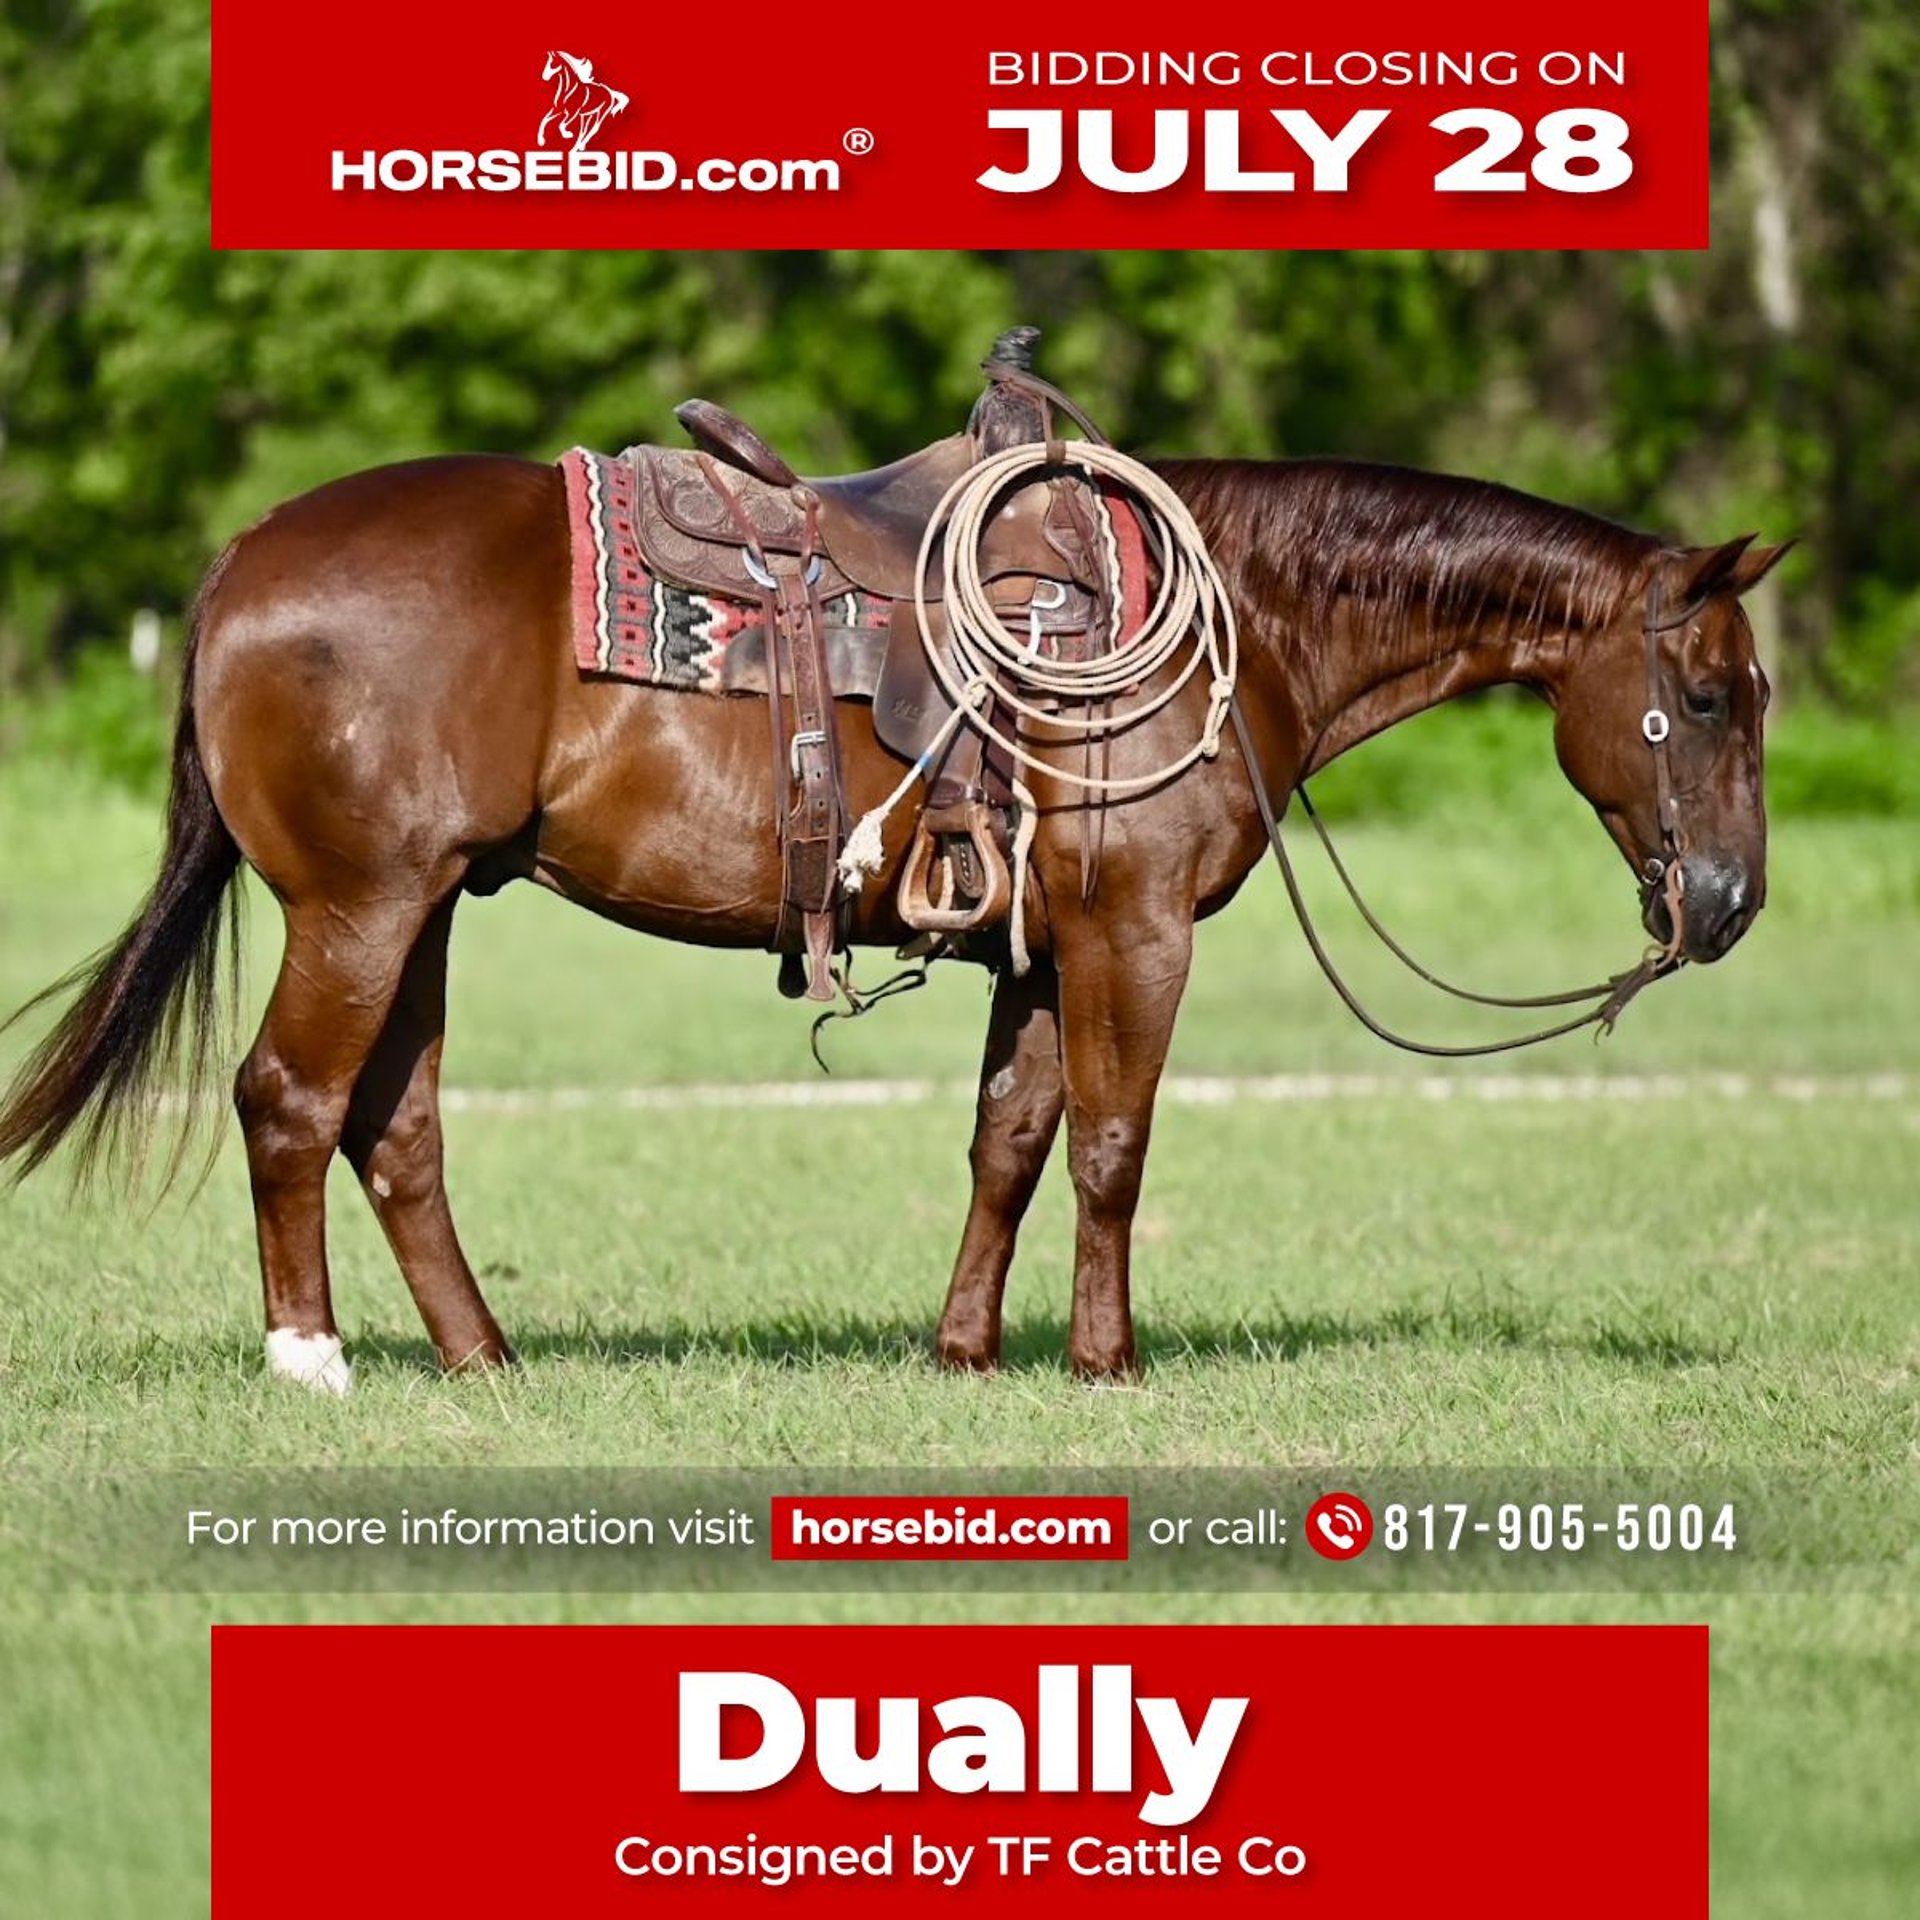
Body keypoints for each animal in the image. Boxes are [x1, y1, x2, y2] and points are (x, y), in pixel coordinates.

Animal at [0, 450, 1786, 1391]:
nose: (1728, 907)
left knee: (395, 1125)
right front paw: (1108, 1363)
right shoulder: (1138, 932)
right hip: (359, 906)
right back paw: (312, 1356)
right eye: (1709, 696)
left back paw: (485, 1357)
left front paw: (966, 1352)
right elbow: (1114, 1146)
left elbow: (1011, 1140)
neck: (1234, 623)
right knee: (291, 1101)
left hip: (427, 905)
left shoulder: (1046, 952)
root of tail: (245, 558)